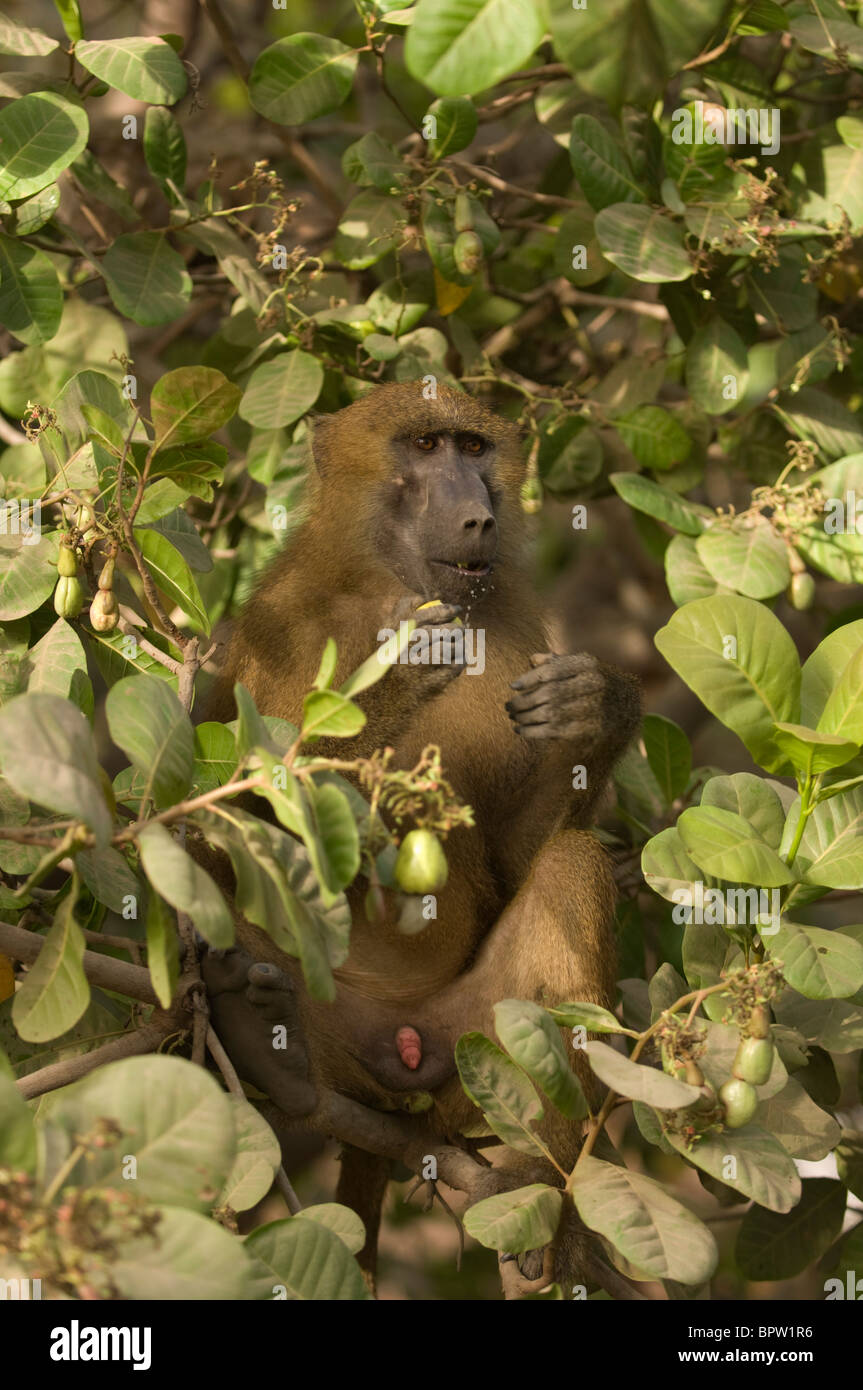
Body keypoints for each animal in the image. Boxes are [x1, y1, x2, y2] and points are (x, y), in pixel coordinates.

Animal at [198, 381, 641, 1285]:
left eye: (473, 447)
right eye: (425, 446)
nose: (477, 516)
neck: (381, 577)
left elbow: (513, 862)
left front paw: (597, 708)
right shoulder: (275, 628)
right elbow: (238, 796)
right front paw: (403, 662)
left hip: (469, 1054)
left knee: (570, 867)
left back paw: (537, 1178)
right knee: (204, 848)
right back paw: (277, 1059)